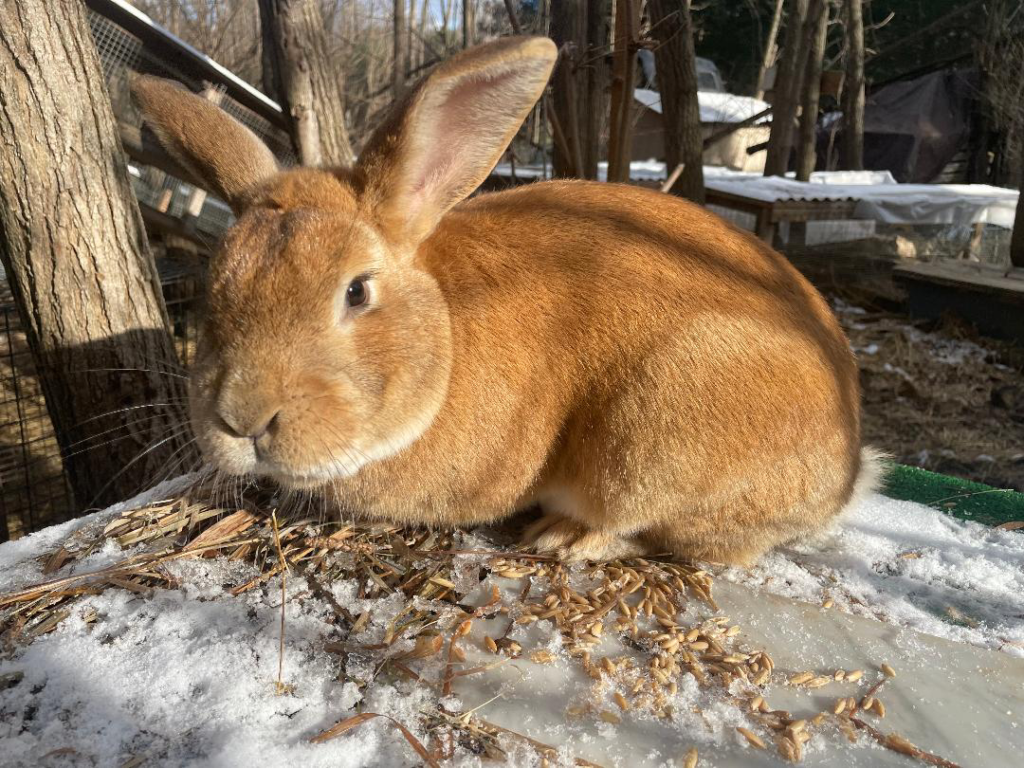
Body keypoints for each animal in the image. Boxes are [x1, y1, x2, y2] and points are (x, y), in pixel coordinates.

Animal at [131, 36, 881, 565]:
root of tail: (846, 471)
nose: (241, 418)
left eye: (356, 290)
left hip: (661, 425)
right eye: (216, 281)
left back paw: (564, 537)